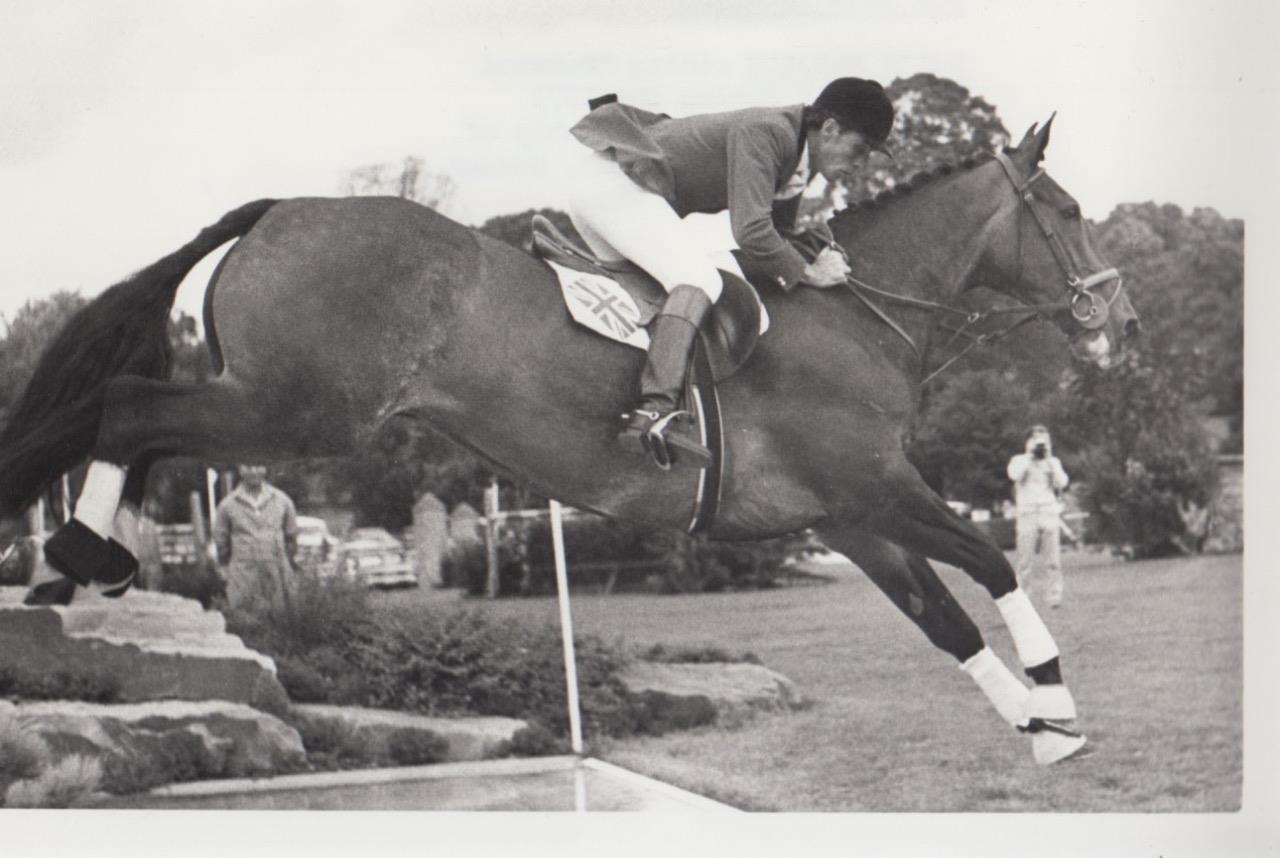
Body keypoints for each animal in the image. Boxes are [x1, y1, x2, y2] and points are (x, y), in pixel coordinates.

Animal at [0, 118, 1137, 765]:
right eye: (1069, 208)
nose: (1122, 328)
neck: (857, 315)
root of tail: (281, 209)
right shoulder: (875, 489)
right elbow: (993, 560)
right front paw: (1057, 701)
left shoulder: (851, 518)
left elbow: (944, 620)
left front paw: (1040, 734)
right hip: (300, 408)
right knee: (130, 411)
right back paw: (75, 557)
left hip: (270, 401)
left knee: (140, 431)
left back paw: (87, 564)